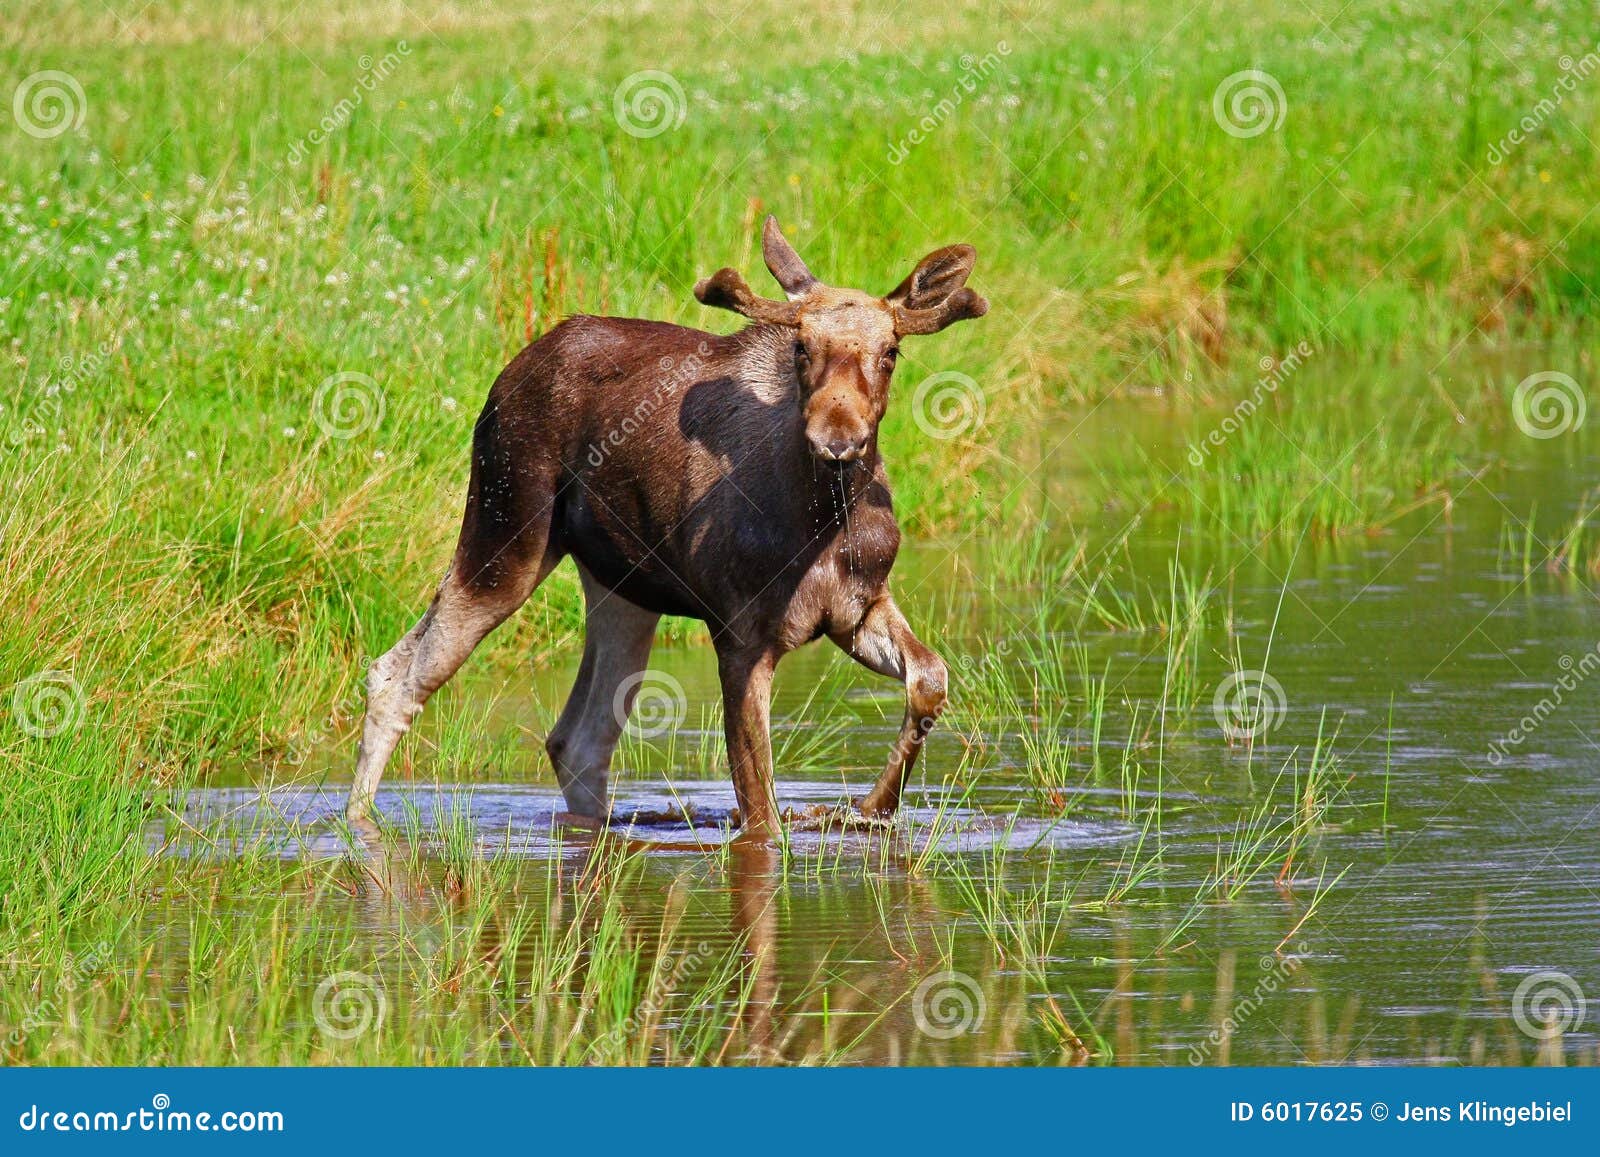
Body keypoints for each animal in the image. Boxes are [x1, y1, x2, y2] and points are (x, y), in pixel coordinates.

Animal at [346, 215, 987, 839]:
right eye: (802, 346)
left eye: (891, 351)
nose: (837, 437)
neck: (823, 520)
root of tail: (507, 375)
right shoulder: (740, 632)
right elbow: (759, 809)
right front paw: (840, 812)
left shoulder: (857, 606)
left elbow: (929, 676)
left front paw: (869, 809)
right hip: (507, 535)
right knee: (401, 680)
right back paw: (358, 823)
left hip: (621, 589)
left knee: (575, 737)